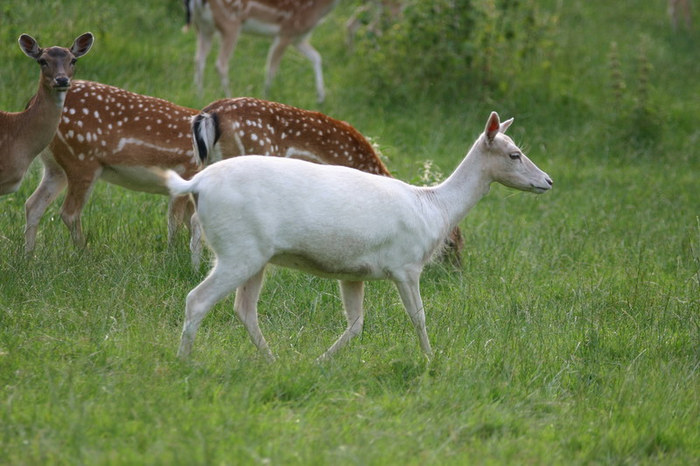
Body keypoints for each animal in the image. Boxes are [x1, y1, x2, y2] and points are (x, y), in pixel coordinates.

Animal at [163, 111, 553, 361]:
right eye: (514, 154)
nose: (548, 181)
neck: (434, 209)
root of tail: (196, 183)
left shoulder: (352, 272)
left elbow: (356, 324)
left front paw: (321, 361)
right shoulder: (406, 264)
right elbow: (419, 316)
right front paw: (431, 359)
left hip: (255, 255)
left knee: (244, 309)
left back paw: (273, 360)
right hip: (238, 249)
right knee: (197, 299)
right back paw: (185, 360)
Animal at [183, 0, 341, 102]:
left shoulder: (298, 38)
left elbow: (317, 57)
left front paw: (321, 97)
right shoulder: (285, 32)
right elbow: (271, 68)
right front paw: (267, 96)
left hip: (203, 27)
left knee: (199, 59)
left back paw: (199, 94)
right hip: (230, 22)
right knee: (220, 63)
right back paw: (229, 96)